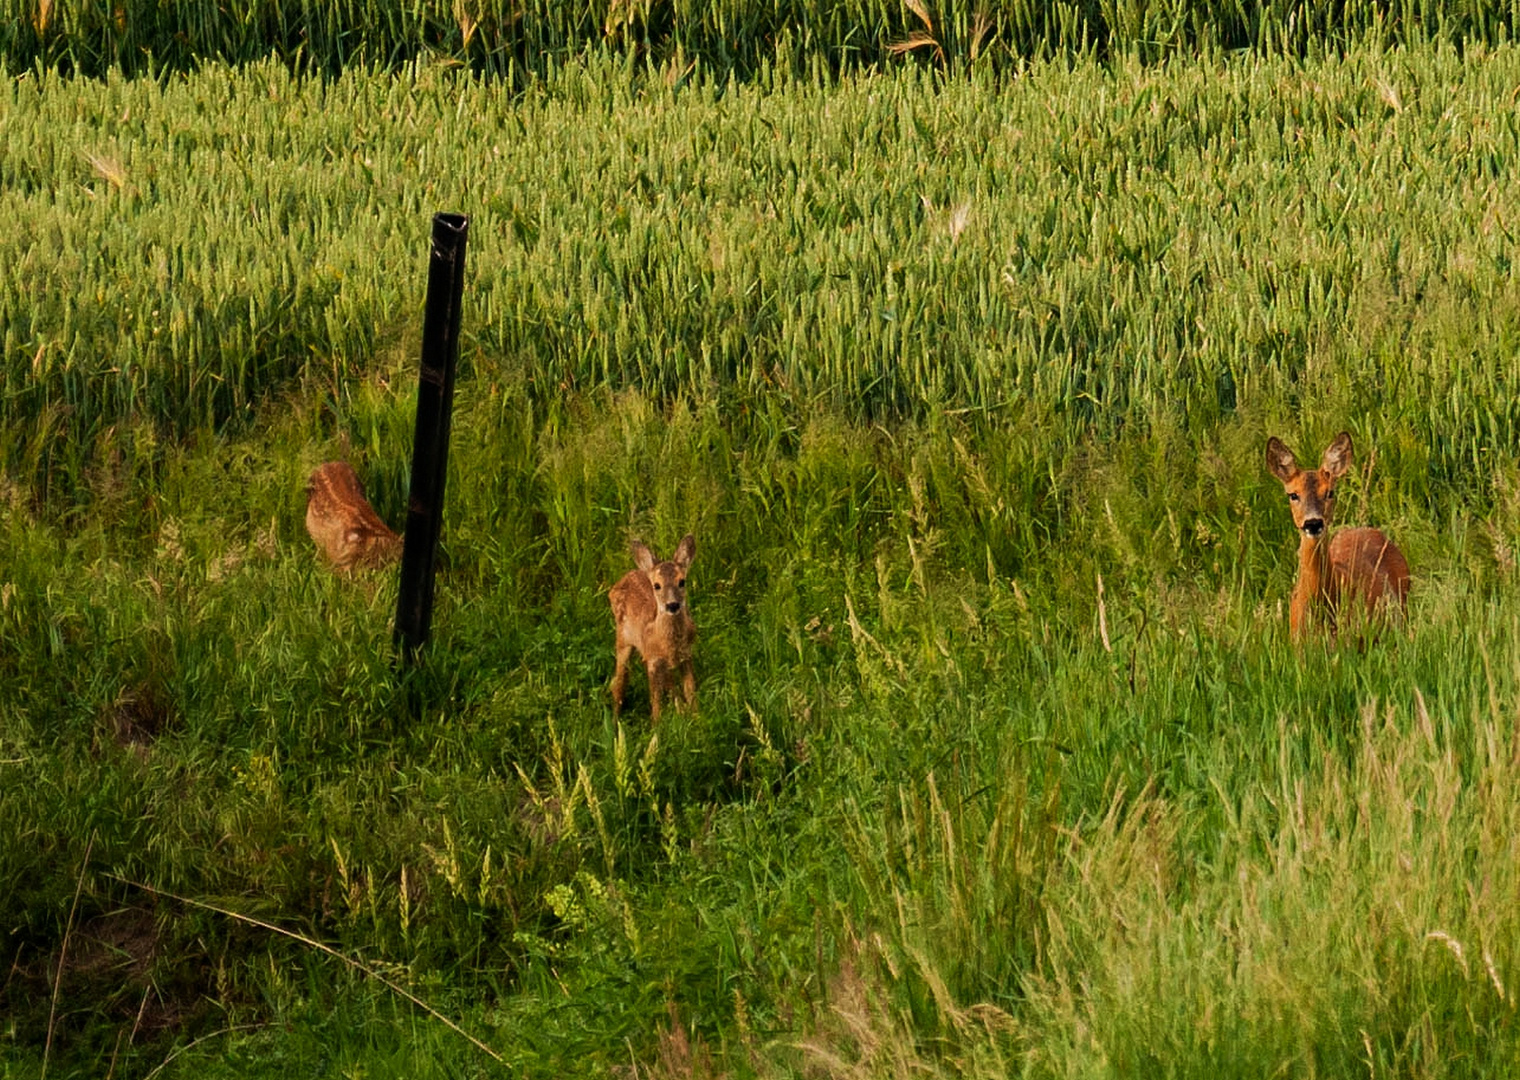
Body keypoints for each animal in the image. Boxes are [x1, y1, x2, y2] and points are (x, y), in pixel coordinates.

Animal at [609, 534, 697, 721]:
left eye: (682, 582)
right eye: (656, 585)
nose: (672, 605)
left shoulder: (686, 655)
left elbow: (690, 690)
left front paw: (696, 717)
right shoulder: (652, 659)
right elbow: (656, 700)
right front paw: (656, 724)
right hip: (622, 639)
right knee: (620, 680)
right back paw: (614, 721)